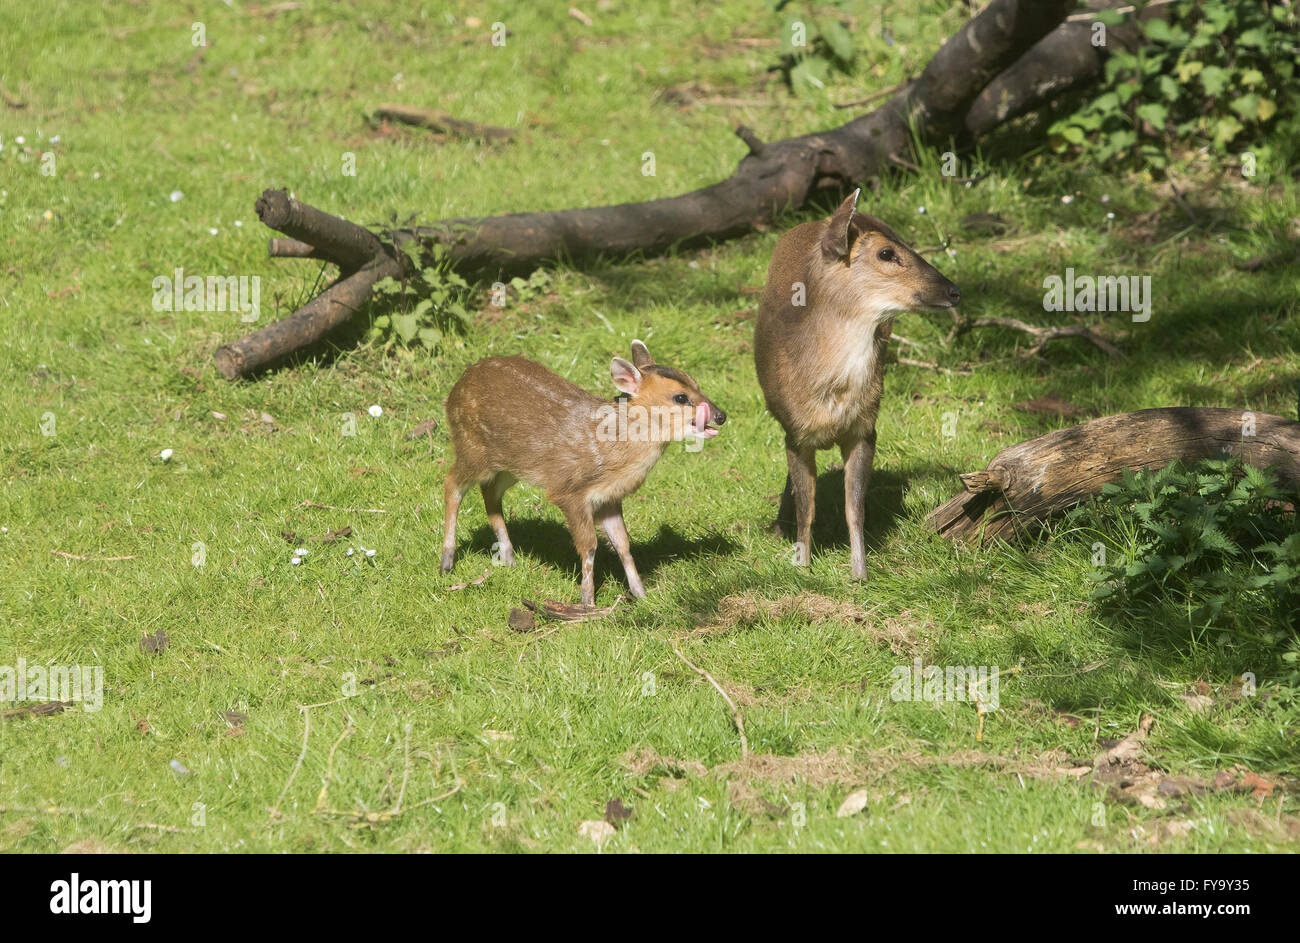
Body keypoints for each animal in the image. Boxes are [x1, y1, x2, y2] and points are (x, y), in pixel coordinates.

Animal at [440, 341, 726, 605]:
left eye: (696, 383)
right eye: (680, 397)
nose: (721, 415)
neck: (613, 451)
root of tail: (456, 386)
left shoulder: (610, 497)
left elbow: (623, 544)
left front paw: (641, 595)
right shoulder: (569, 491)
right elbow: (589, 546)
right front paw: (587, 602)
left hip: (511, 463)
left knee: (489, 492)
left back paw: (509, 558)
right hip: (471, 445)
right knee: (451, 483)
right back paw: (447, 561)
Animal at [753, 188, 960, 579]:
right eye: (886, 253)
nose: (954, 289)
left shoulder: (865, 428)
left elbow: (855, 508)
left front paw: (860, 572)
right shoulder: (796, 433)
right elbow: (807, 507)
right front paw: (802, 565)